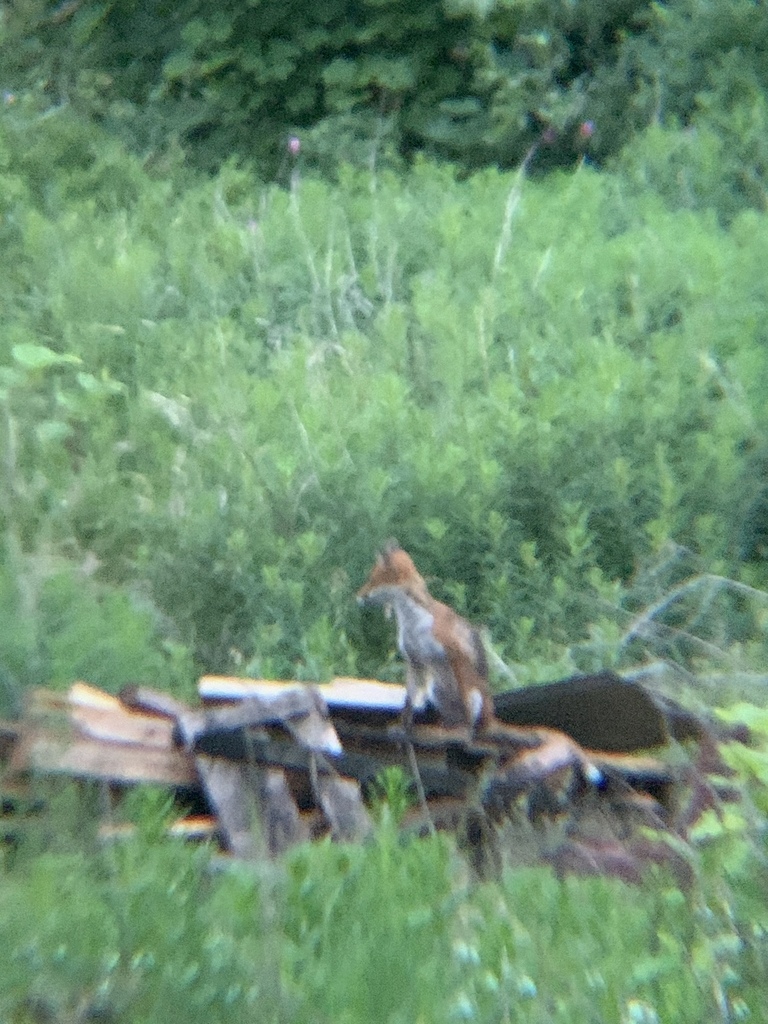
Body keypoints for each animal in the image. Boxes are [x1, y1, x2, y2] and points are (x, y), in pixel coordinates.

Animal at [357, 541, 494, 733]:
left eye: (372, 579)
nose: (357, 597)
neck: (414, 624)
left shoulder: (455, 656)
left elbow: (465, 706)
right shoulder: (414, 661)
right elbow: (408, 703)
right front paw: (404, 727)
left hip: (471, 695)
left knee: (469, 718)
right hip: (434, 689)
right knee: (451, 720)